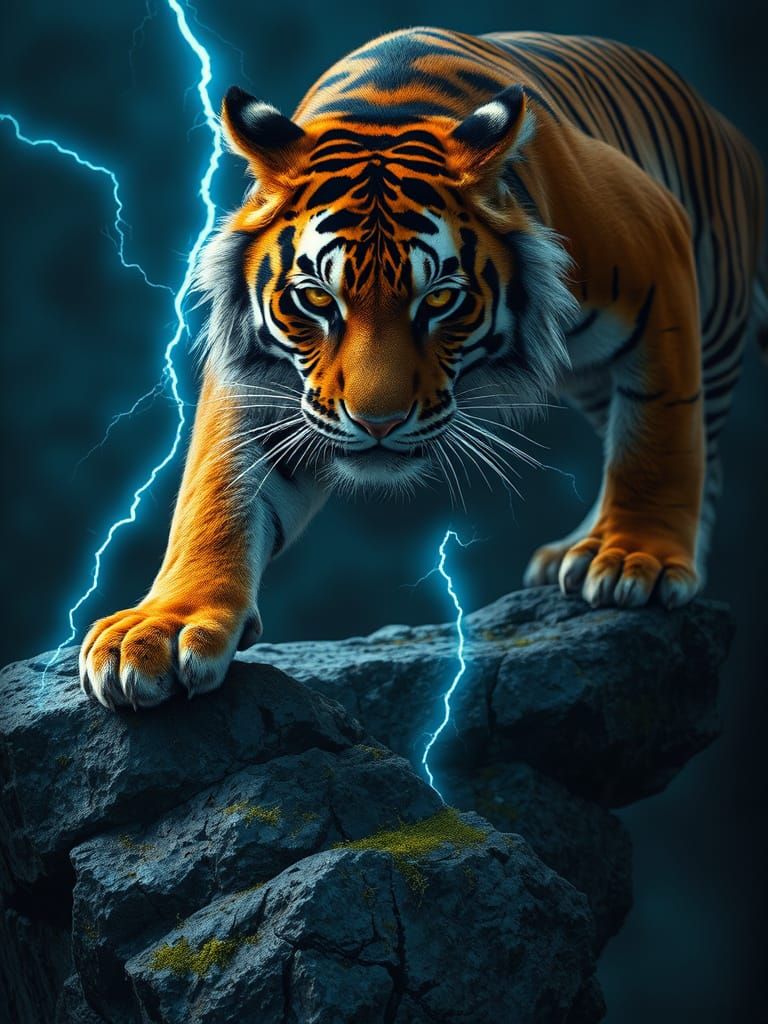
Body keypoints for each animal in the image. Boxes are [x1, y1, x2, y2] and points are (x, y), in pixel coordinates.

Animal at [80, 28, 766, 710]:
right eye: (318, 299)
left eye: (438, 300)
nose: (377, 423)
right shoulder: (259, 376)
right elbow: (218, 492)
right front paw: (160, 629)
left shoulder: (654, 247)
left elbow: (658, 433)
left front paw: (633, 558)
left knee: (698, 446)